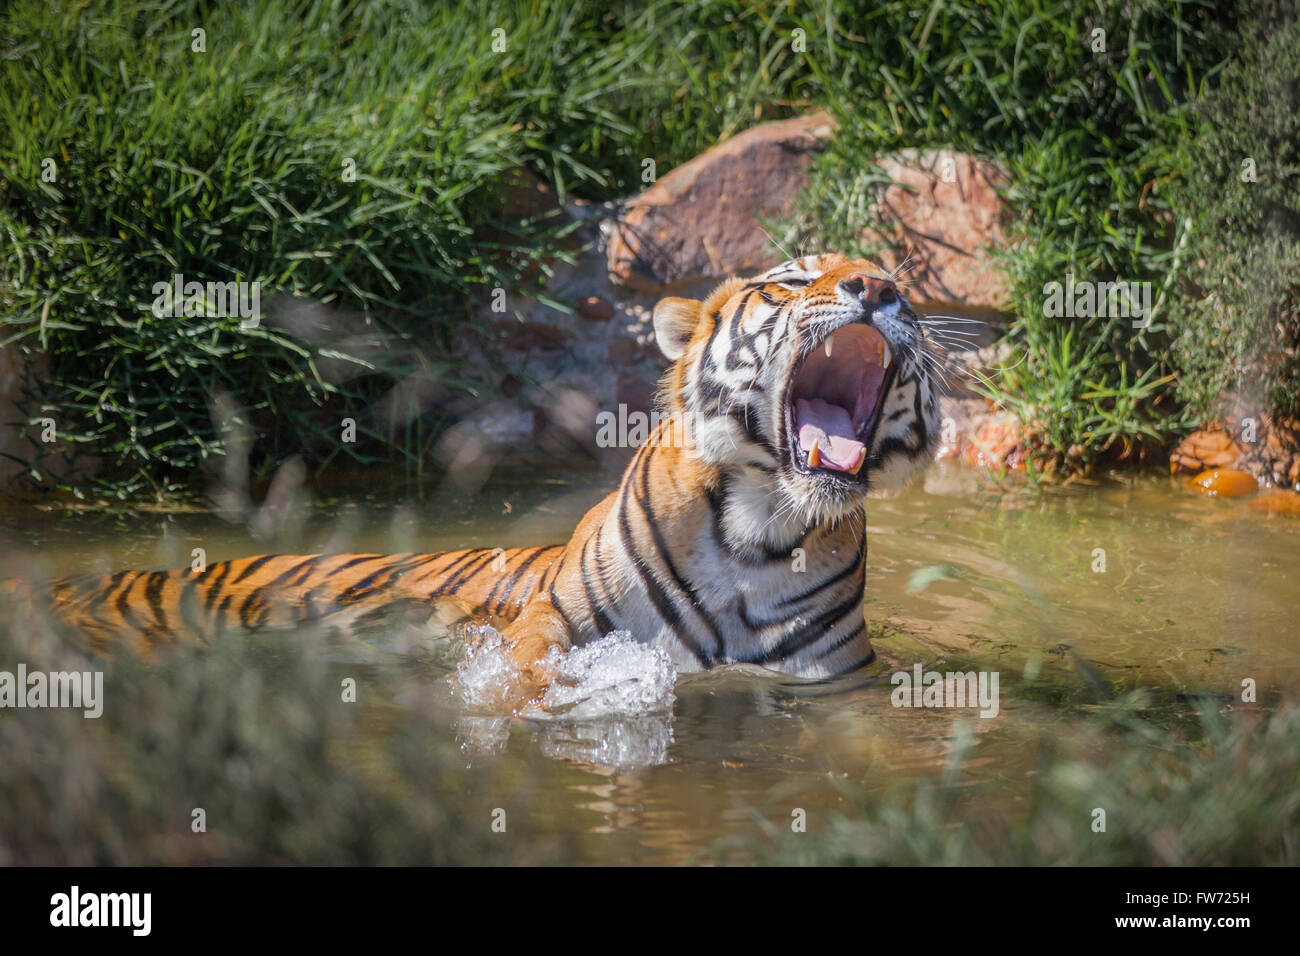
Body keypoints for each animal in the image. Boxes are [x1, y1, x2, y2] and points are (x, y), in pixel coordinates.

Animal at [15, 253, 941, 705]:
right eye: (794, 279)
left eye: (906, 290)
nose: (879, 287)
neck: (759, 525)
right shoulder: (553, 620)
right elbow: (530, 674)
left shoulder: (833, 680)